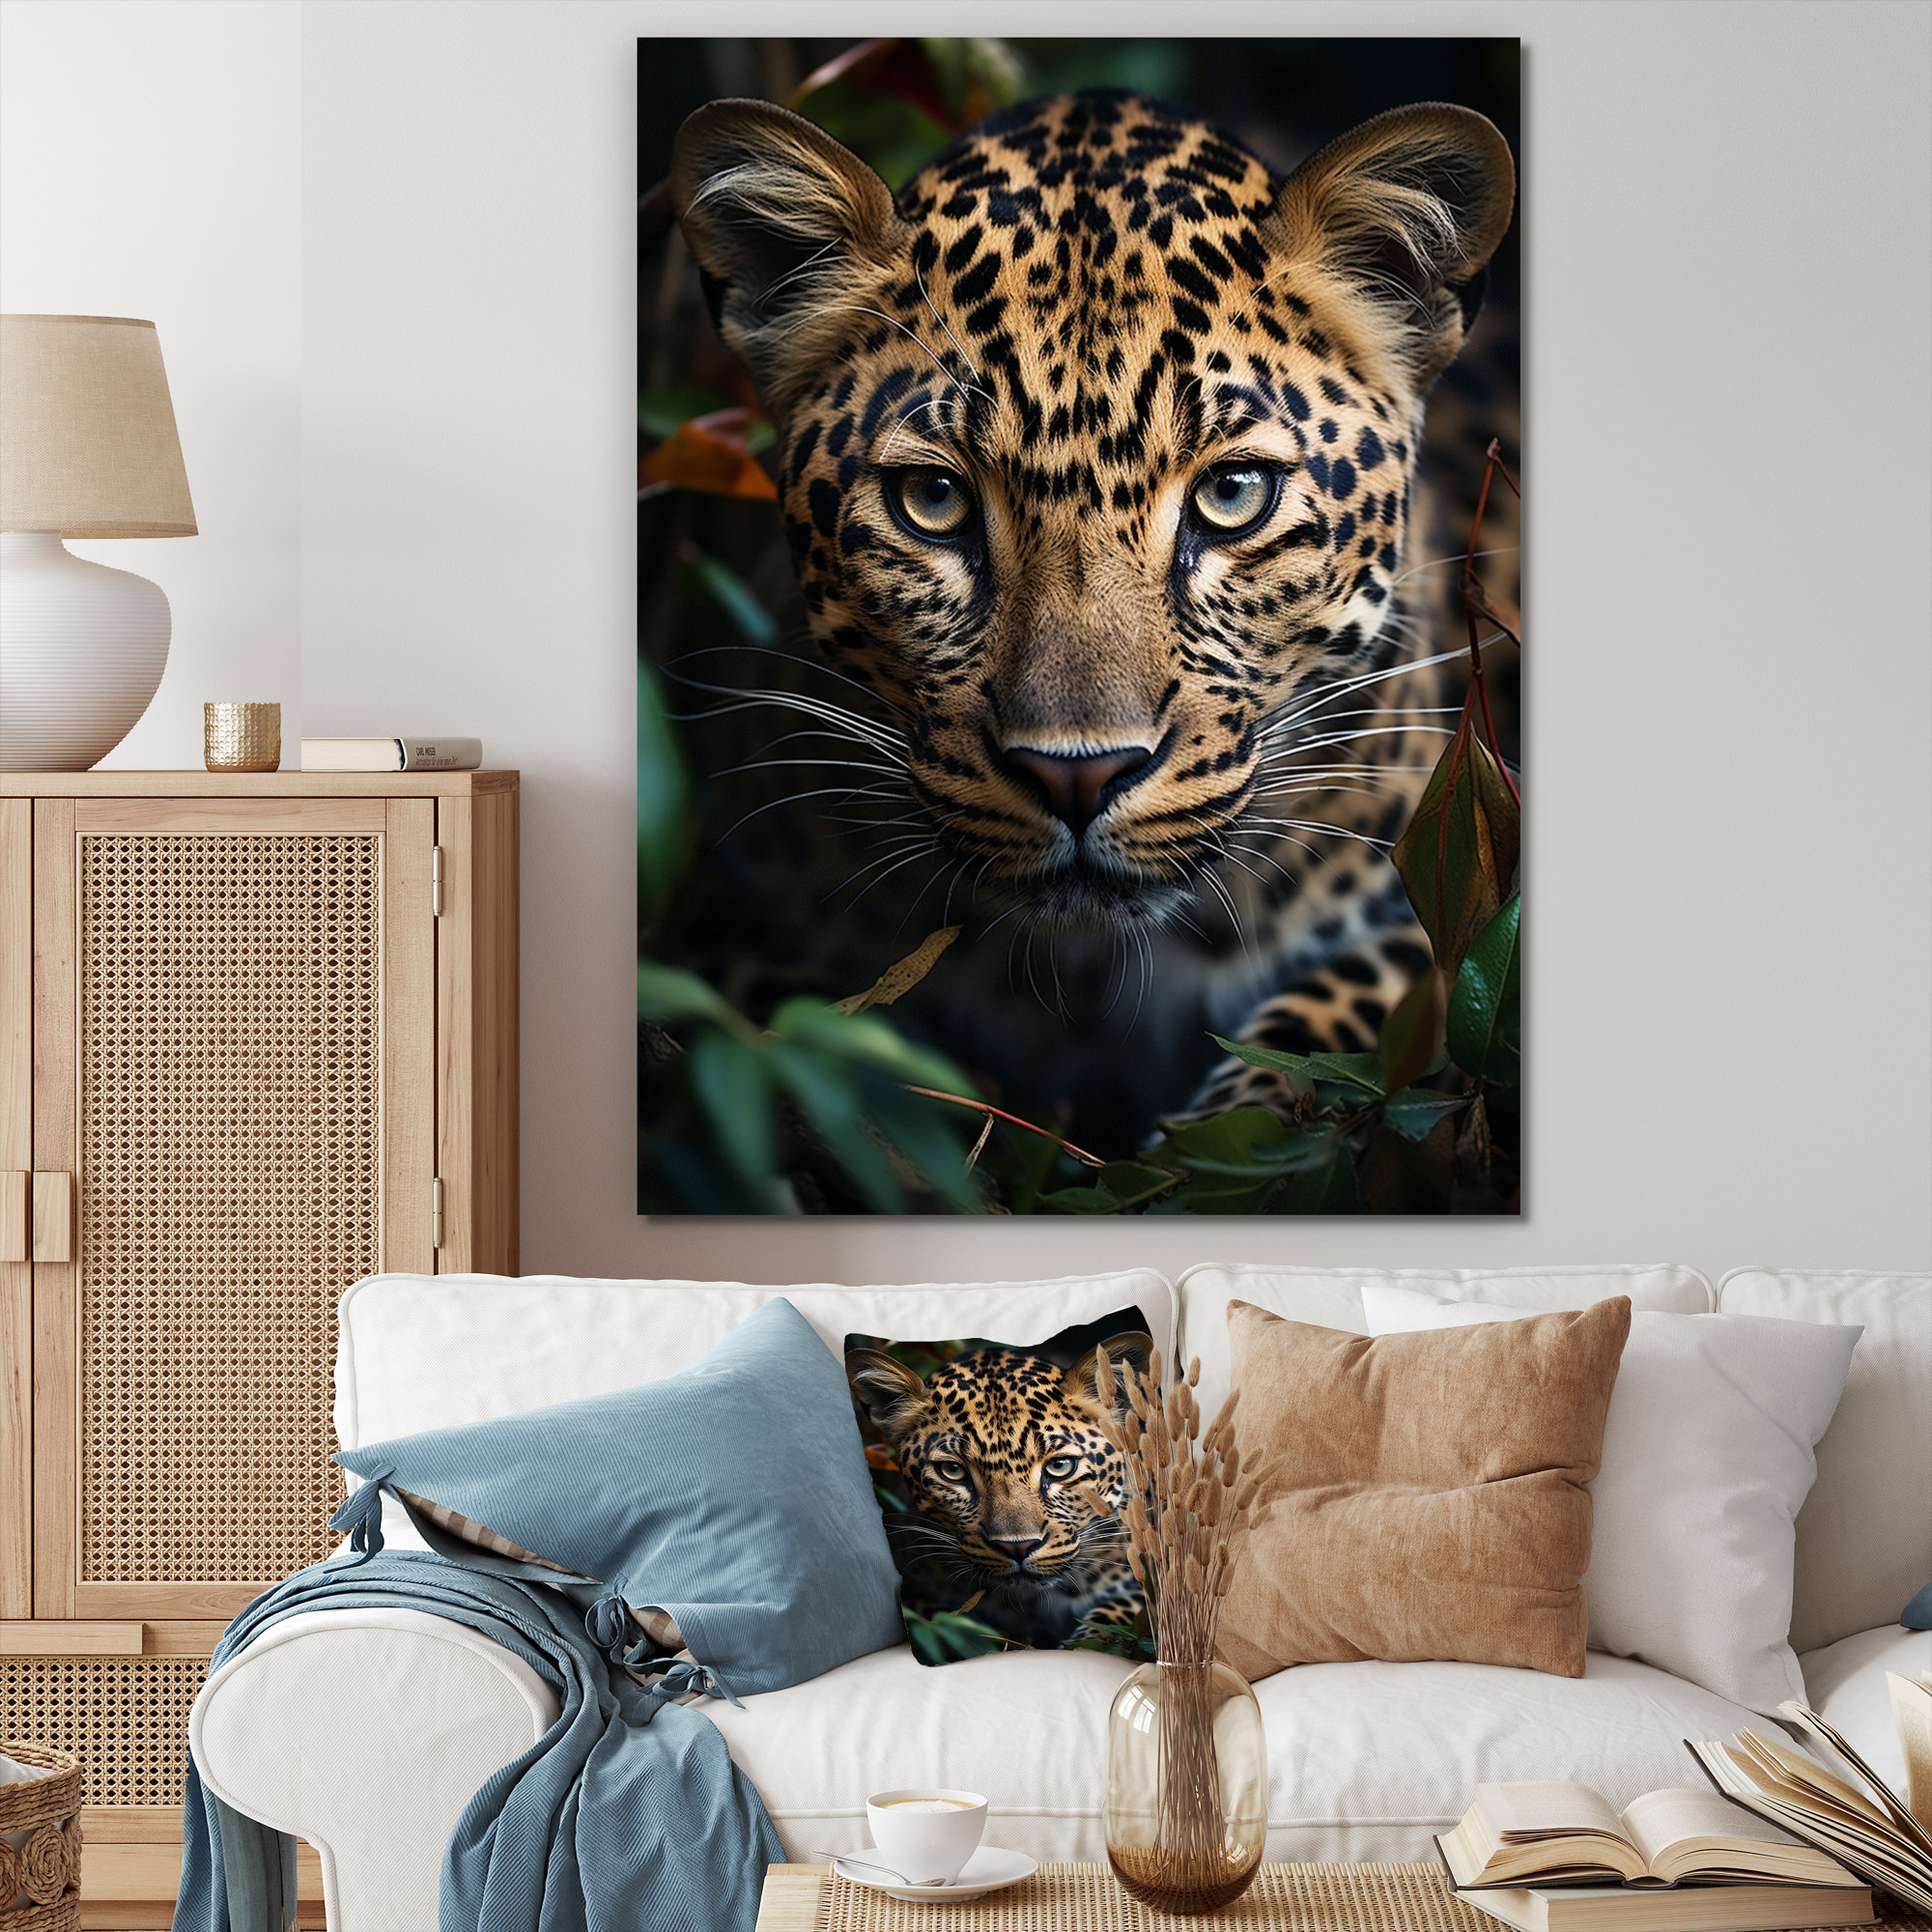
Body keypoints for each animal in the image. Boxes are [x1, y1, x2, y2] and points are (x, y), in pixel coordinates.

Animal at [659, 87, 1518, 1163]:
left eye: (1232, 494)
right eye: (933, 501)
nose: (1078, 774)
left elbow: (1340, 1029)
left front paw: (1214, 1144)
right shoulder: (714, 900)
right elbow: (775, 1033)